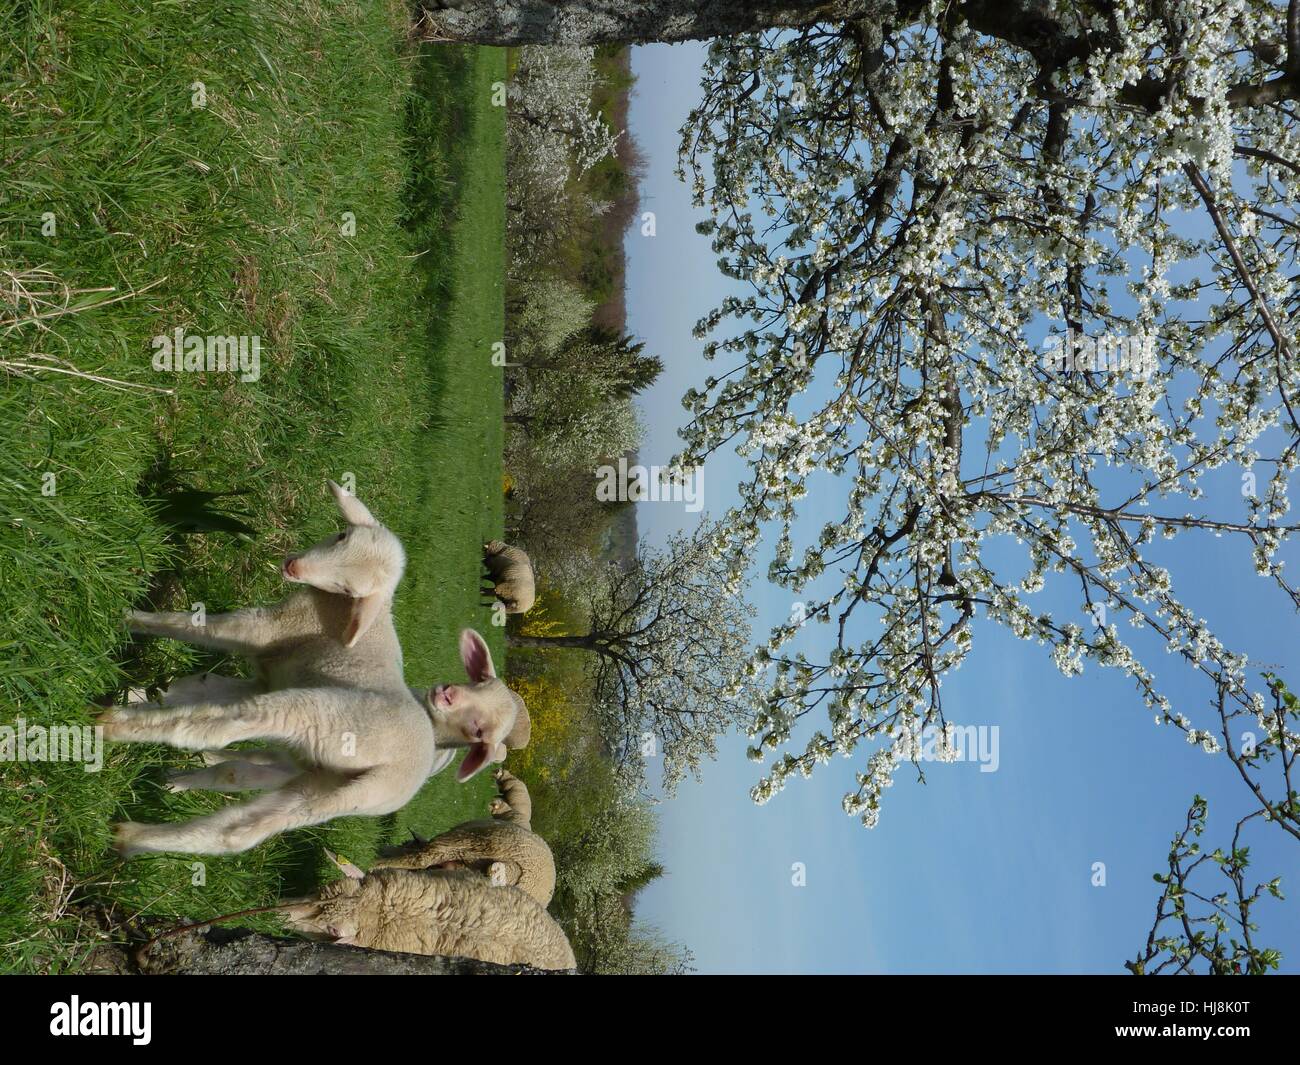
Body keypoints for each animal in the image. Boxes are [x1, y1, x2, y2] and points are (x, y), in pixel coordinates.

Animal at [103, 482, 529, 855]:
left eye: (348, 590)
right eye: (341, 535)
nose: (293, 566)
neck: (342, 614)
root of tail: (397, 773)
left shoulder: (265, 631)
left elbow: (189, 628)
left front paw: (127, 617)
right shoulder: (267, 674)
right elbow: (192, 688)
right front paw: (140, 691)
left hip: (321, 717)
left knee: (223, 726)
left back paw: (110, 725)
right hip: (333, 792)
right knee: (240, 832)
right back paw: (131, 838)